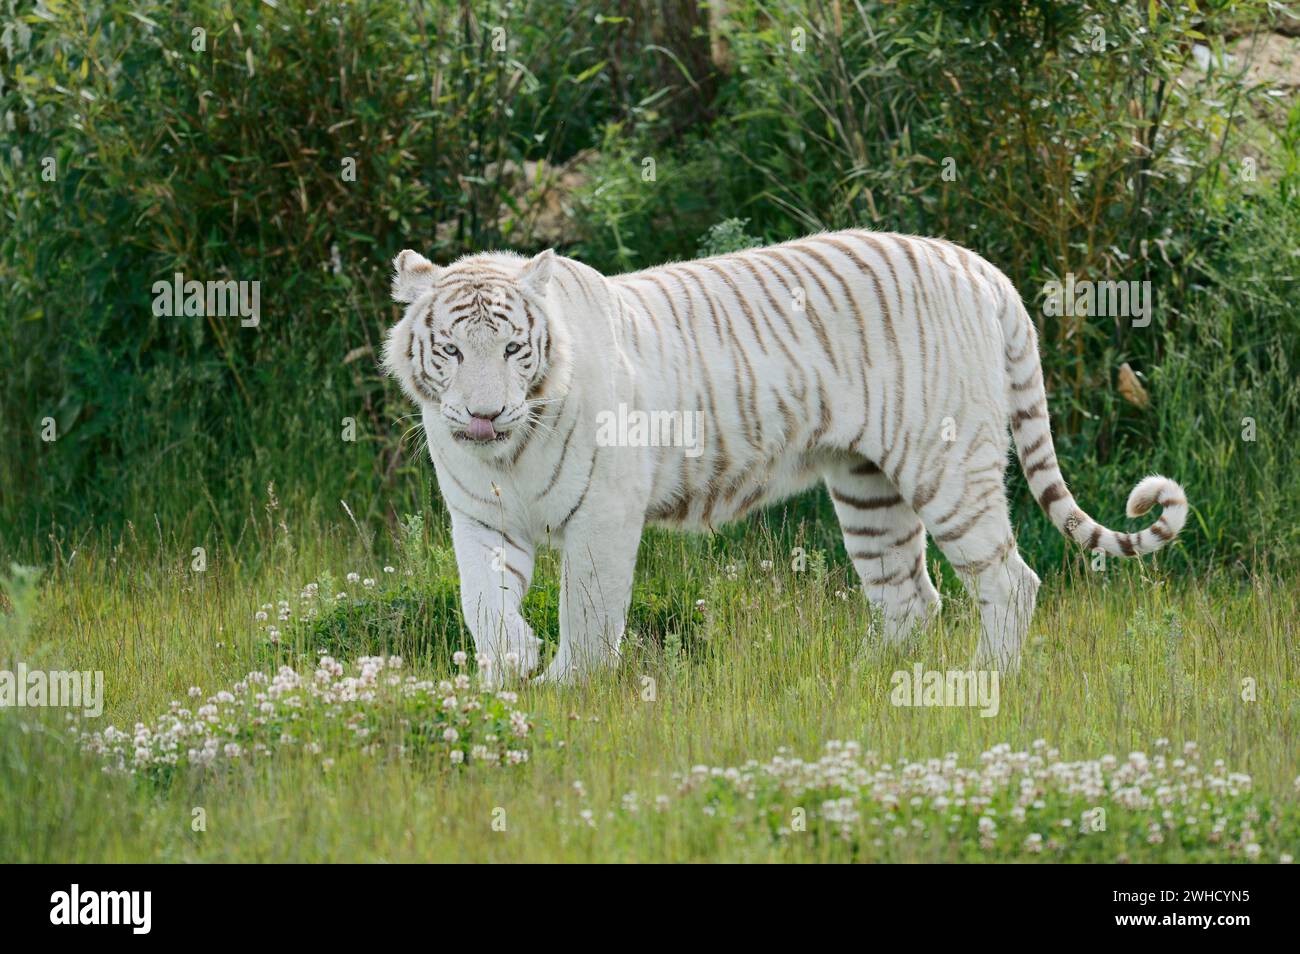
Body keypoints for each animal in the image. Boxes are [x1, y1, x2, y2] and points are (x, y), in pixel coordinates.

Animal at [382, 230, 1187, 683]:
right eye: (451, 350)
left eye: (513, 349)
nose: (484, 414)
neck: (507, 454)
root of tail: (983, 270)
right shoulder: (482, 521)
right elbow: (480, 601)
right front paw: (511, 662)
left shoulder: (602, 518)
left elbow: (587, 611)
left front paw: (563, 687)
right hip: (868, 489)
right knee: (909, 600)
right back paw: (857, 684)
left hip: (948, 469)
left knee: (1010, 581)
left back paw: (984, 679)